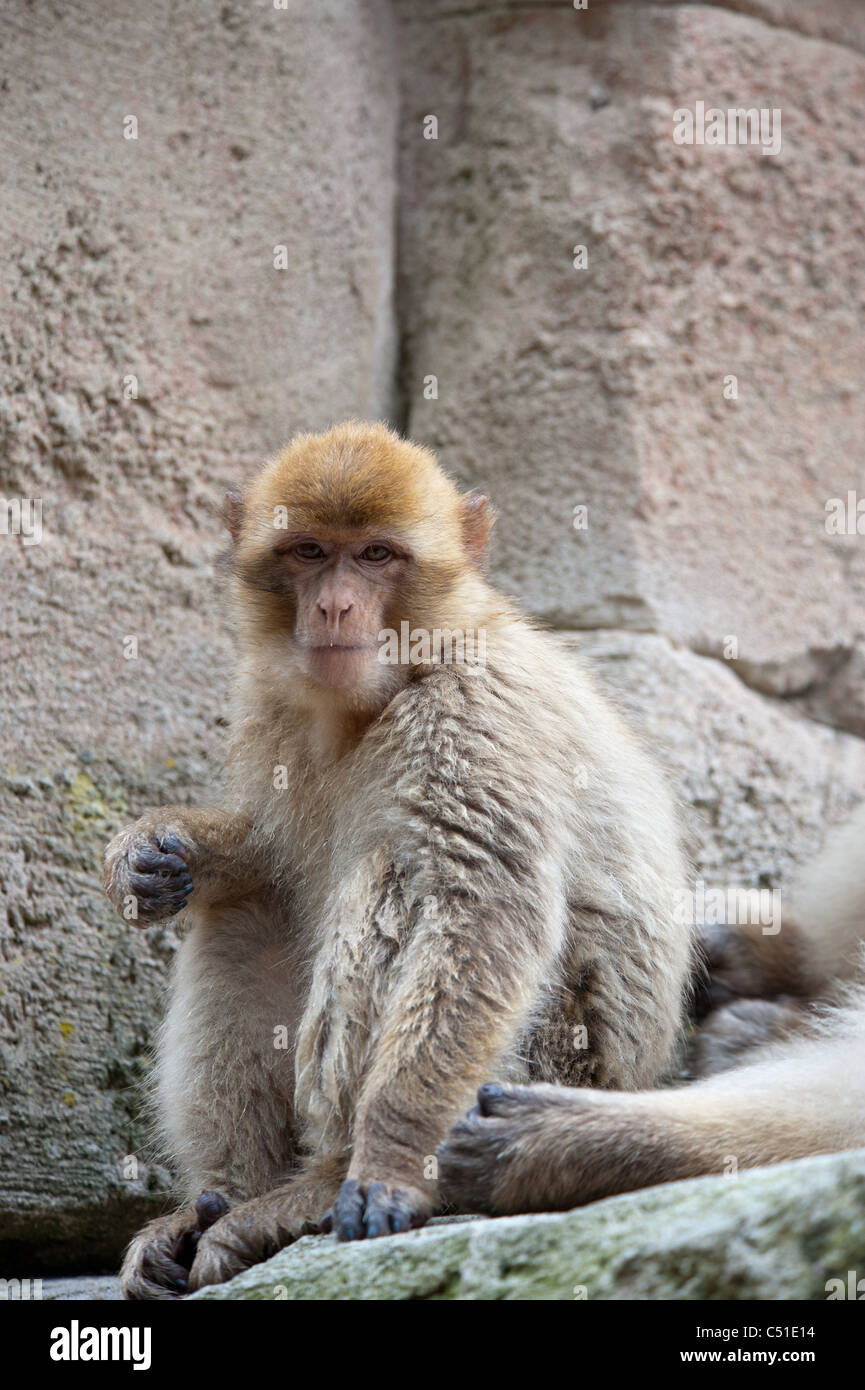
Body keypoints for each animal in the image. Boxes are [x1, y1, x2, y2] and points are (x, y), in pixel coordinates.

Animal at [103, 420, 693, 1299]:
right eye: (310, 552)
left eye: (377, 555)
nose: (335, 604)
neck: (387, 688)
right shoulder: (269, 703)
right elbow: (266, 857)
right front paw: (156, 848)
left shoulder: (471, 712)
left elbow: (480, 914)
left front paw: (389, 1157)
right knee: (246, 915)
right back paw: (220, 1200)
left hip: (545, 1066)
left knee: (394, 876)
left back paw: (316, 1187)